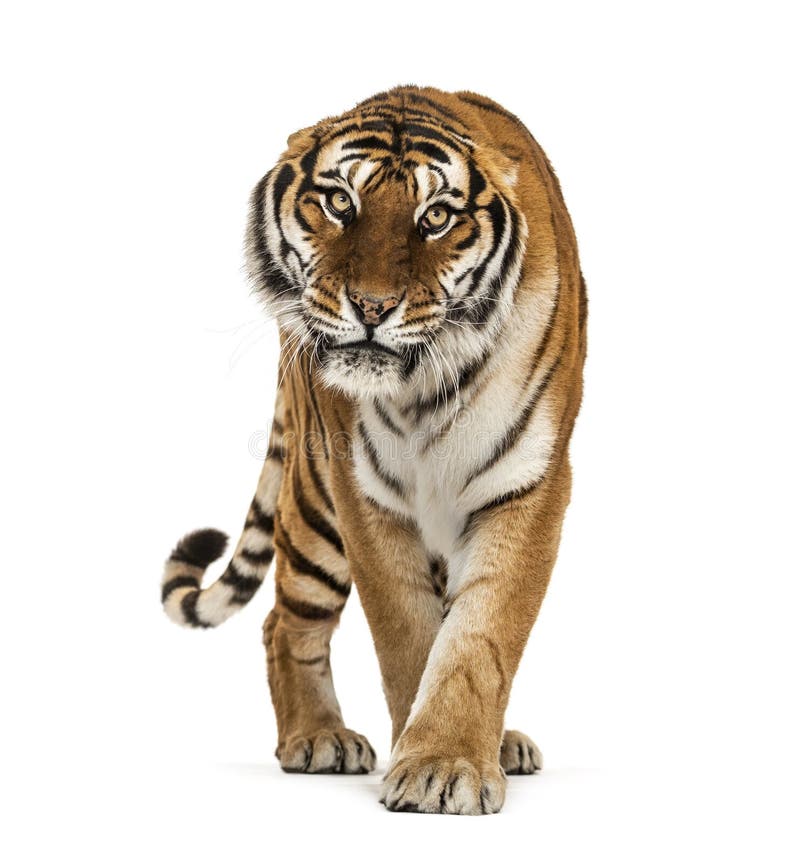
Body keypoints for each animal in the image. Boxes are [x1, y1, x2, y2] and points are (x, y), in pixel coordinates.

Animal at [161, 85, 586, 815]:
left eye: (436, 217)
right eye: (339, 203)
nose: (371, 307)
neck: (426, 385)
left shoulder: (529, 483)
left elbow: (479, 635)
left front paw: (449, 760)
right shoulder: (361, 490)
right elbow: (408, 635)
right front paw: (430, 763)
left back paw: (501, 742)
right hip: (313, 505)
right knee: (283, 621)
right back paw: (317, 738)